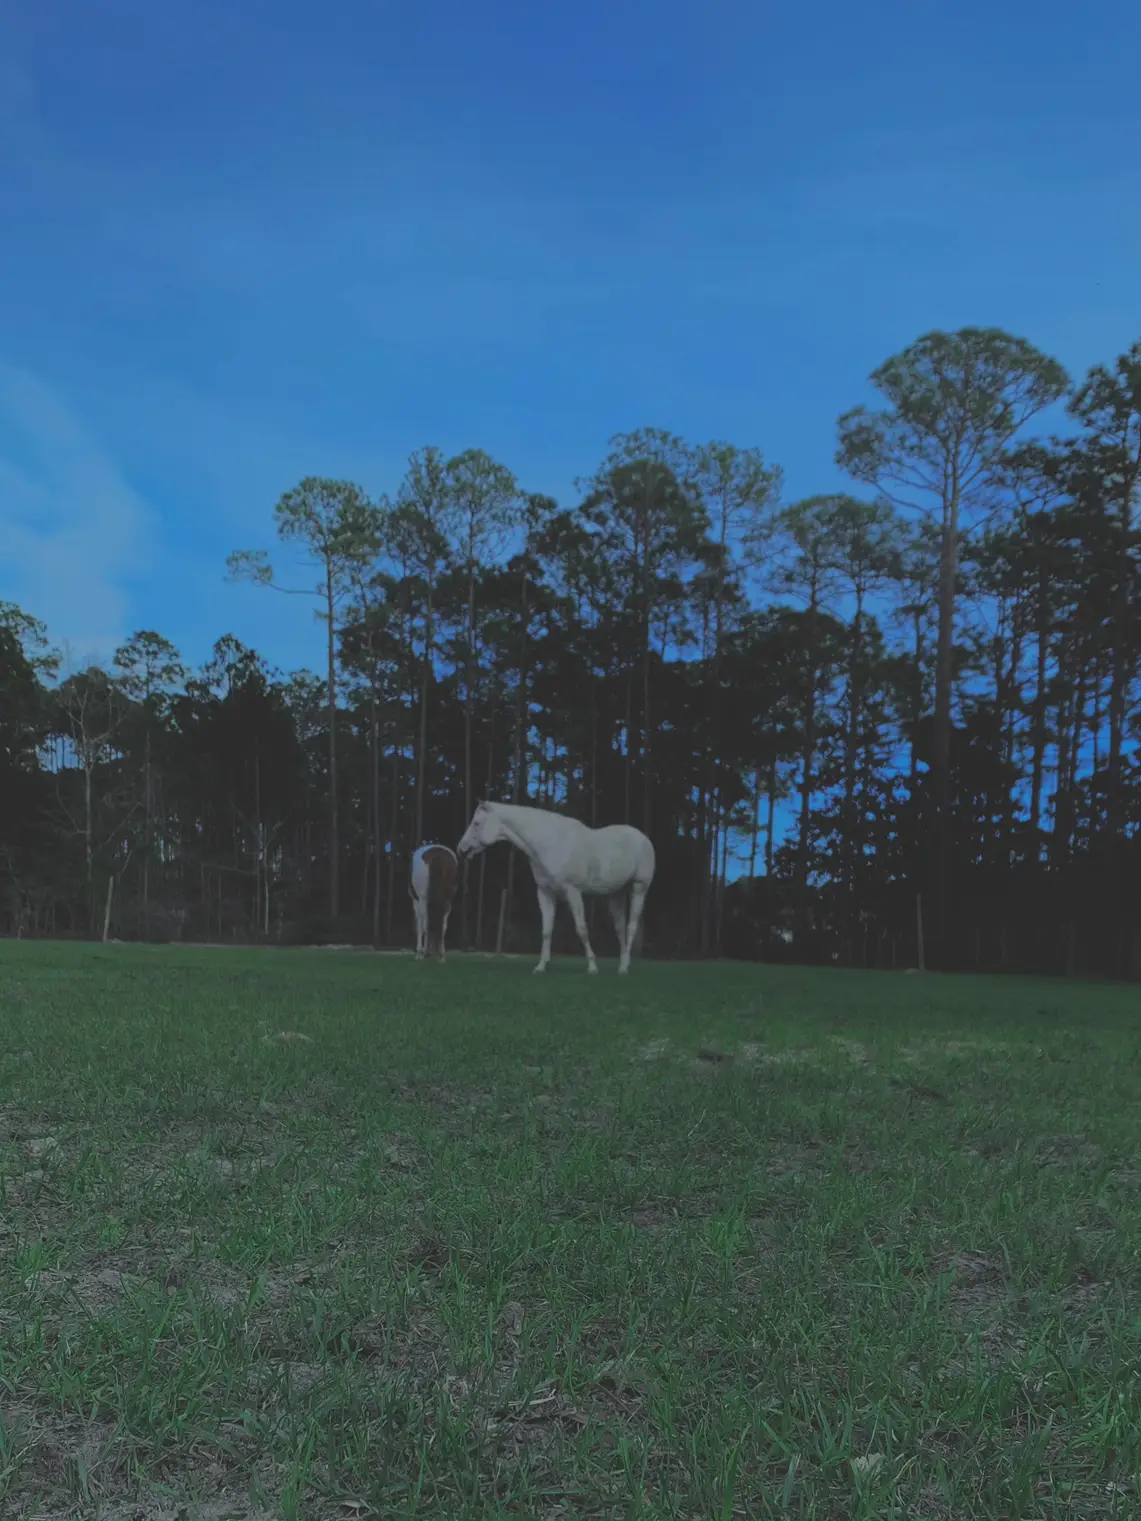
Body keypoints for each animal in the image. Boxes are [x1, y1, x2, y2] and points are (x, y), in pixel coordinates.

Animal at [456, 800, 655, 974]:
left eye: (476, 823)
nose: (461, 850)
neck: (550, 842)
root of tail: (643, 838)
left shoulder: (572, 891)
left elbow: (581, 928)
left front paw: (592, 967)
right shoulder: (545, 893)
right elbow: (546, 930)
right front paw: (541, 967)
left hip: (639, 888)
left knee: (631, 927)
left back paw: (623, 969)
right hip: (616, 894)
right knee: (621, 929)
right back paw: (622, 965)